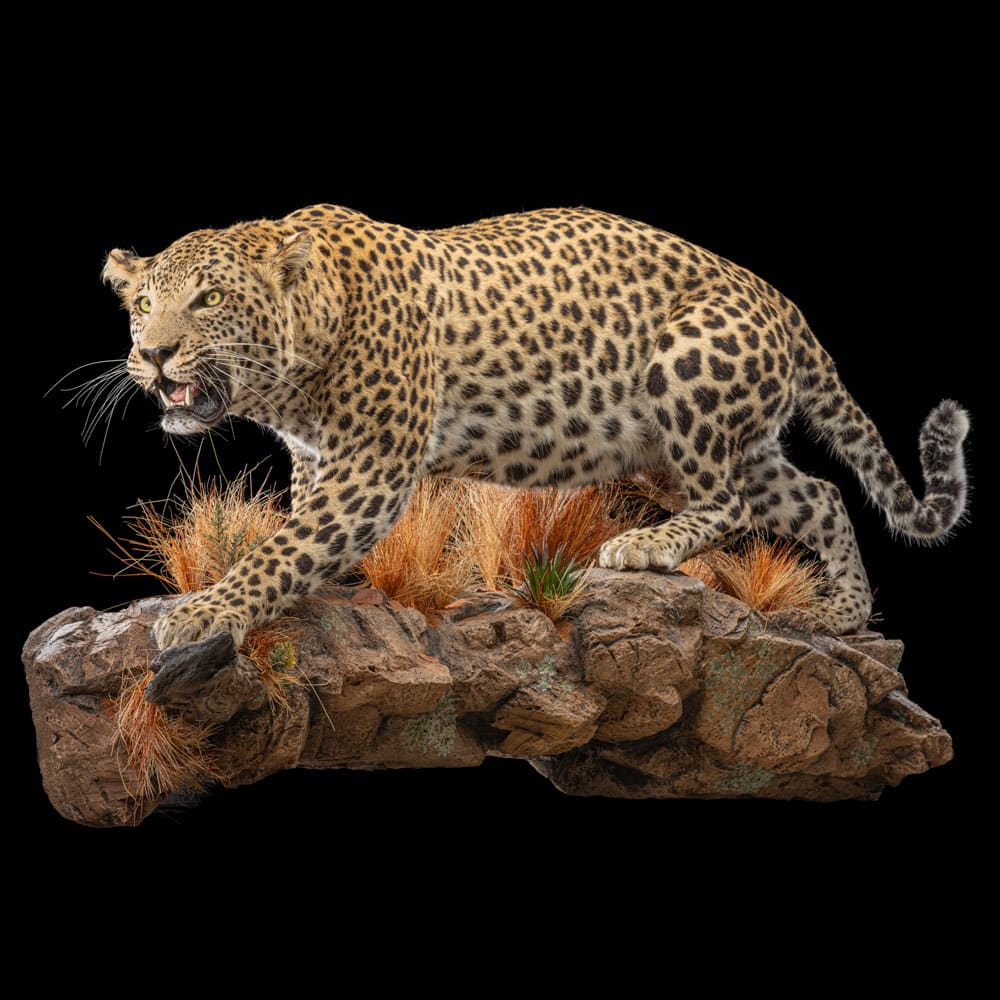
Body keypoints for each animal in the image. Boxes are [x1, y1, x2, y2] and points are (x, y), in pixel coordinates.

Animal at [101, 204, 970, 649]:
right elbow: (302, 531)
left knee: (730, 502)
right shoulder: (320, 459)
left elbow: (285, 548)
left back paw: (646, 547)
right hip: (710, 444)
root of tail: (785, 305)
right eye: (143, 303)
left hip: (687, 372)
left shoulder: (372, 466)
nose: (154, 353)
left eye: (210, 299)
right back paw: (842, 615)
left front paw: (205, 613)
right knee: (819, 494)